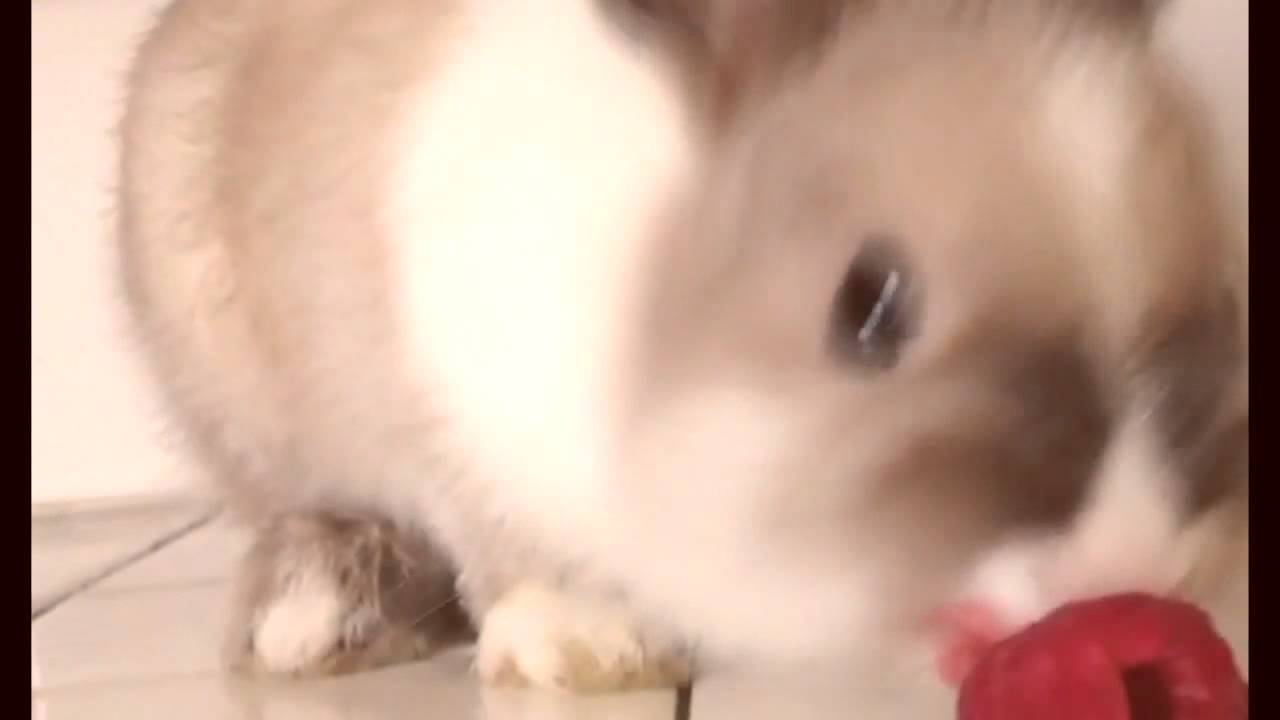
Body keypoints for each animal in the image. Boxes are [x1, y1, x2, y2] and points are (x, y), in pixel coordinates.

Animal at [117, 0, 1247, 693]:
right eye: (869, 305)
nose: (1126, 560)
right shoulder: (459, 413)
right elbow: (505, 546)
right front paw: (585, 642)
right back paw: (315, 619)